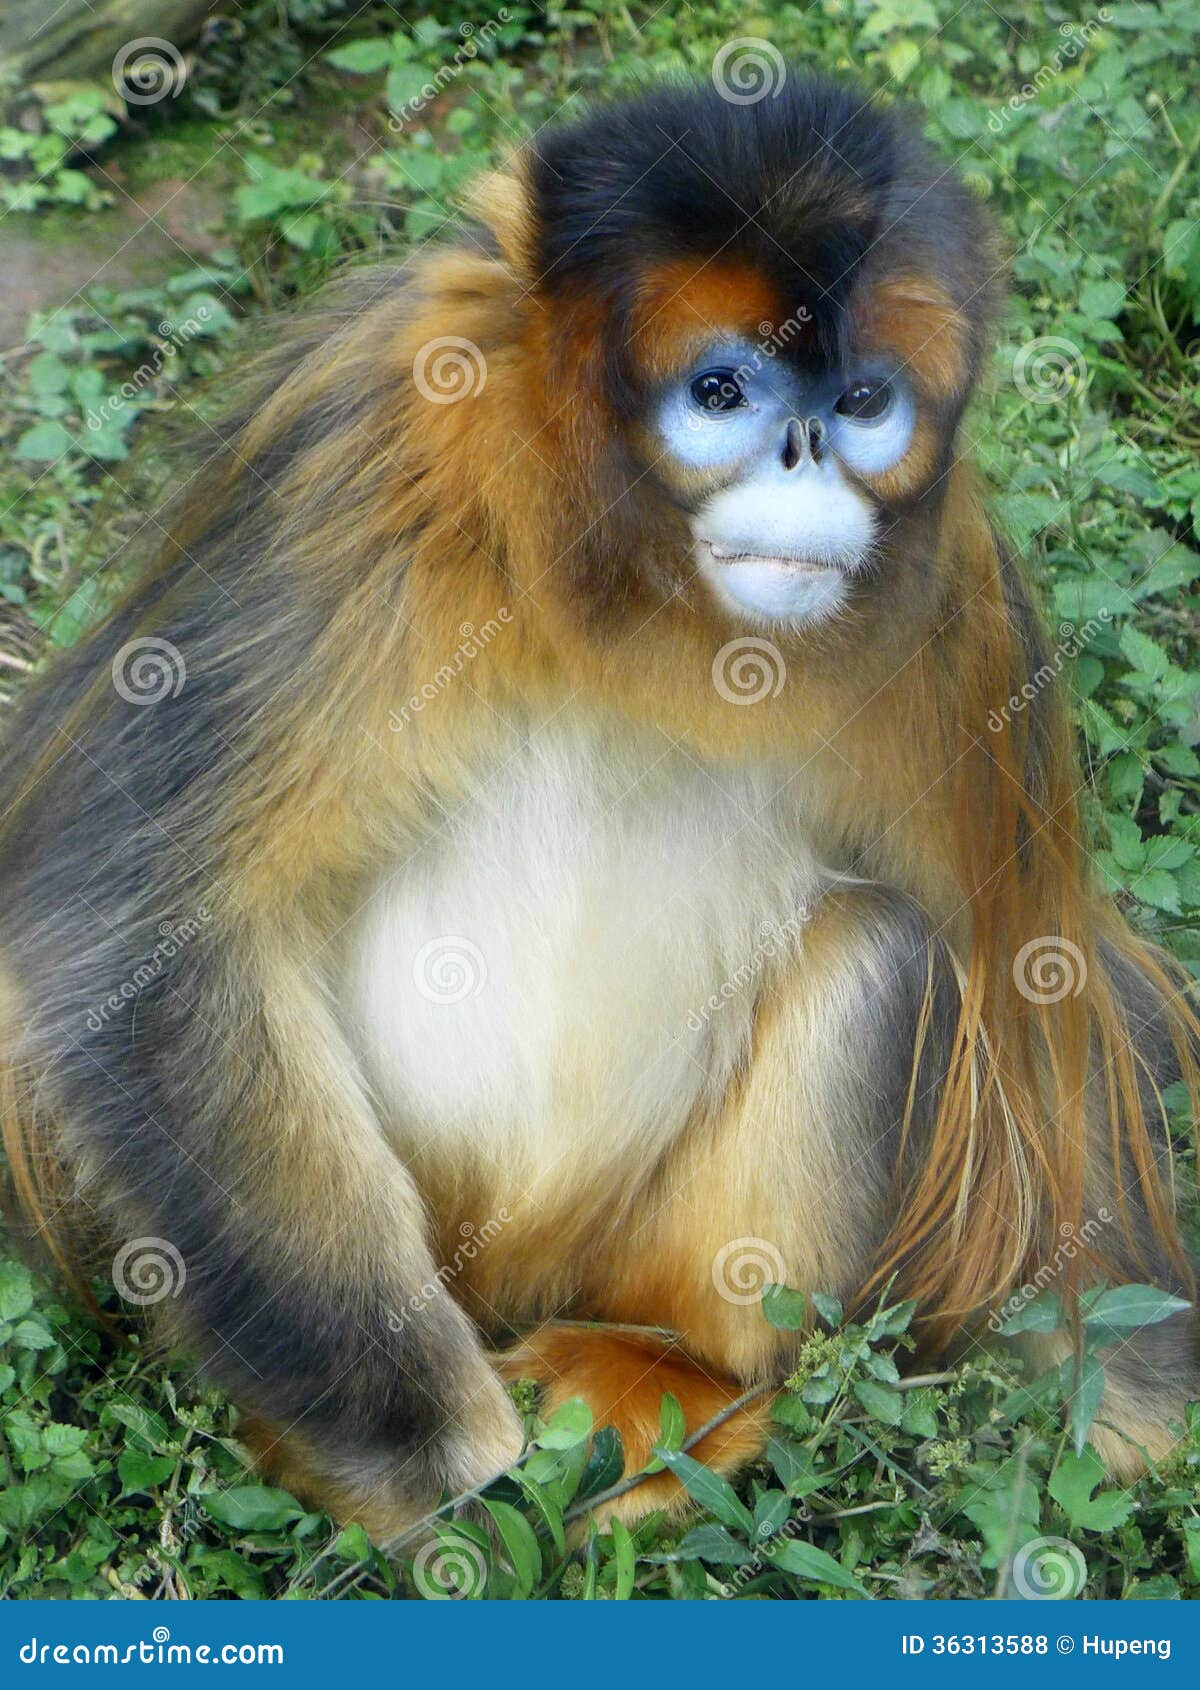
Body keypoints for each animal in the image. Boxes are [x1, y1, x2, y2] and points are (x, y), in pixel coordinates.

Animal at [1, 74, 1198, 1546]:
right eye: (722, 390)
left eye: (863, 400)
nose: (807, 446)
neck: (635, 594)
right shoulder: (353, 465)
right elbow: (132, 941)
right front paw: (438, 1469)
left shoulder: (957, 604)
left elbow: (1046, 982)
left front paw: (1132, 1404)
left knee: (885, 954)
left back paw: (674, 1367)